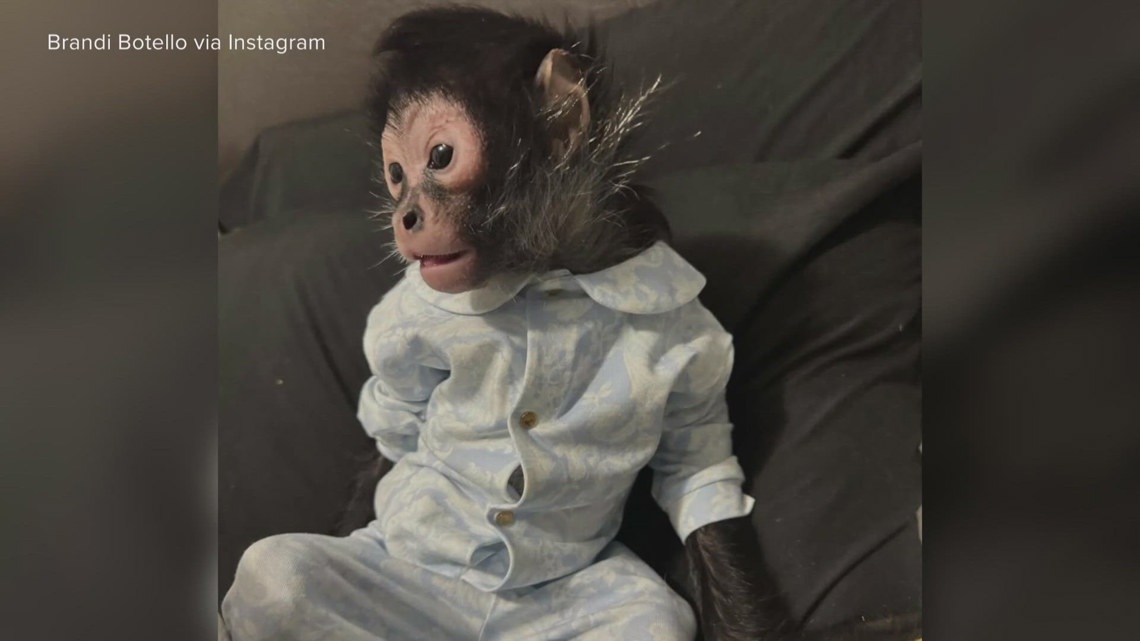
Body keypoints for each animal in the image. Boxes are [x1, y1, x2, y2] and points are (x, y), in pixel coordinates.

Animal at [220, 8, 920, 641]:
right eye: (396, 175)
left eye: (440, 156)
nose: (406, 214)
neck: (550, 272)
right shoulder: (406, 316)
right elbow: (396, 414)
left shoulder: (692, 326)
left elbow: (696, 459)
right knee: (279, 576)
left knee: (647, 618)